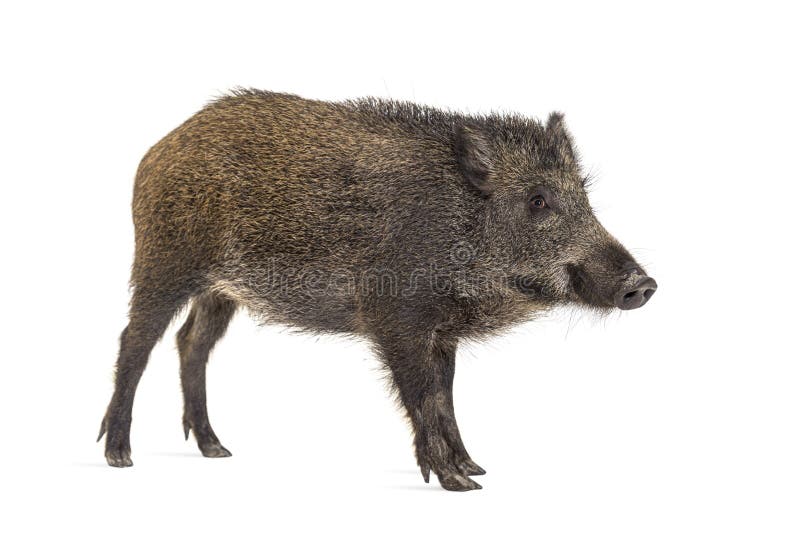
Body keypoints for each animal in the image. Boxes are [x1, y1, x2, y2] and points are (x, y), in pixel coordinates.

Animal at [98, 90, 657, 491]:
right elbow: (423, 396)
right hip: (164, 263)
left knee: (191, 341)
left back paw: (217, 450)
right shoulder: (397, 320)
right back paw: (119, 456)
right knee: (135, 342)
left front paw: (474, 469)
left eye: (583, 196)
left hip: (220, 290)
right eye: (538, 200)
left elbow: (446, 395)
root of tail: (157, 150)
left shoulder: (442, 332)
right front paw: (457, 483)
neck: (461, 228)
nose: (644, 284)